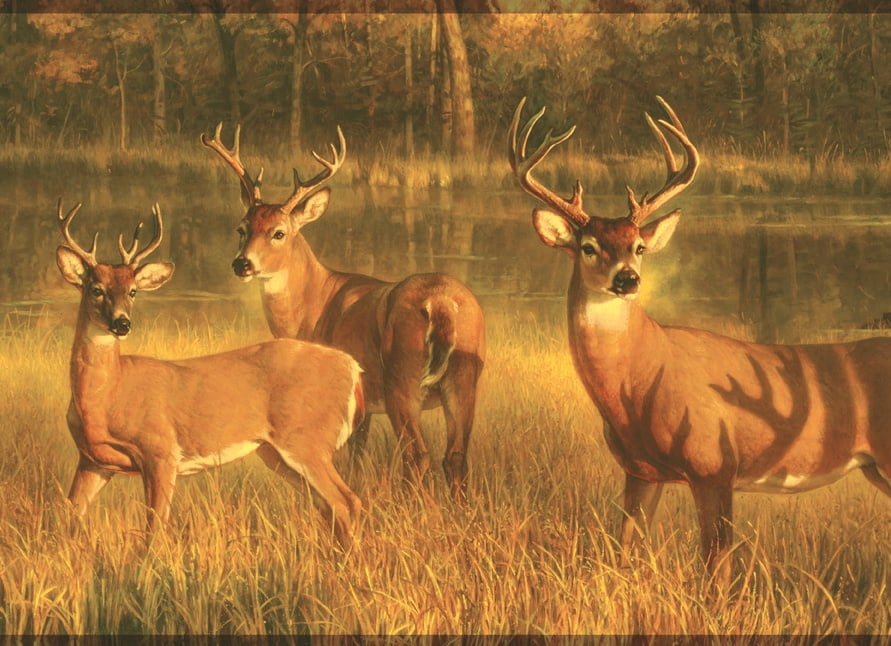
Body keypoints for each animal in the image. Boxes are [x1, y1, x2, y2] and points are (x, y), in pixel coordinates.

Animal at [55, 200, 364, 546]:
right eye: (96, 289)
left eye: (133, 291)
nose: (122, 324)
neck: (106, 397)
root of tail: (353, 368)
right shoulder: (93, 461)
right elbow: (68, 516)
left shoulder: (161, 451)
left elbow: (155, 529)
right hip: (276, 452)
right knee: (329, 506)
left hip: (305, 439)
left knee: (347, 500)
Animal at [202, 124, 486, 502]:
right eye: (241, 228)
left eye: (279, 233)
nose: (241, 264)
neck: (313, 307)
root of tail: (440, 302)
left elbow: (346, 456)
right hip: (465, 378)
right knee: (455, 456)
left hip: (402, 380)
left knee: (417, 454)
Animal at [509, 96, 891, 584]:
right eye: (589, 247)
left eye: (638, 246)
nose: (628, 280)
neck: (638, 383)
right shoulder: (641, 472)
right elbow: (623, 552)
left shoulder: (714, 466)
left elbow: (716, 568)